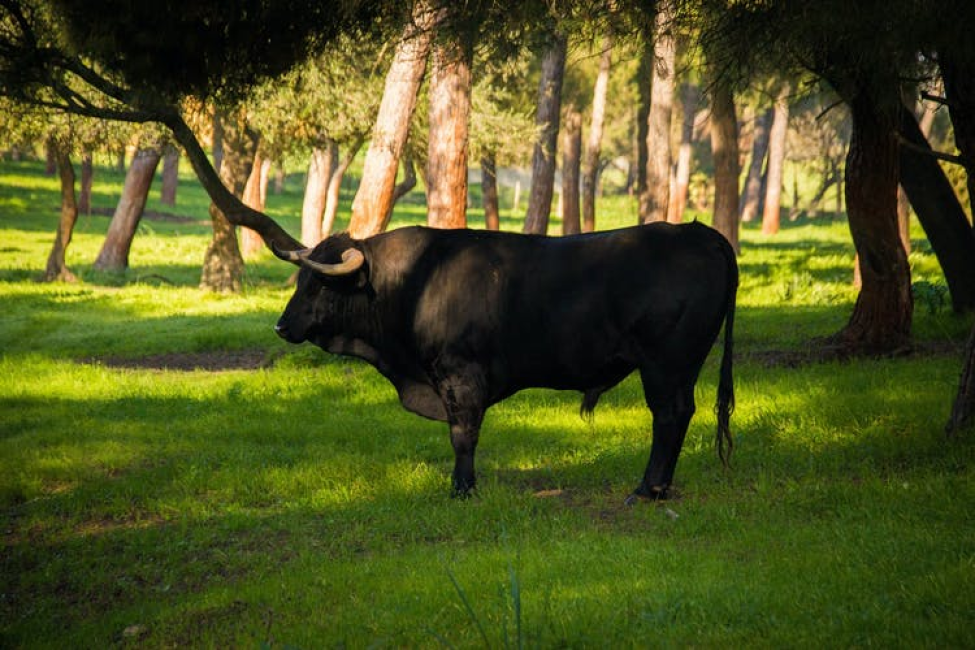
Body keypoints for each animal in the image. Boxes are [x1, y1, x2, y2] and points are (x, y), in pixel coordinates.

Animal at [273, 221, 737, 502]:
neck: (416, 281)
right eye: (301, 280)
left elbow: (463, 435)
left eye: (318, 283)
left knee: (668, 416)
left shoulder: (460, 376)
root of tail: (697, 232)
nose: (281, 326)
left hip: (665, 363)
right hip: (681, 366)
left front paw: (462, 489)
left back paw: (647, 489)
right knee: (681, 414)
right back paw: (659, 486)